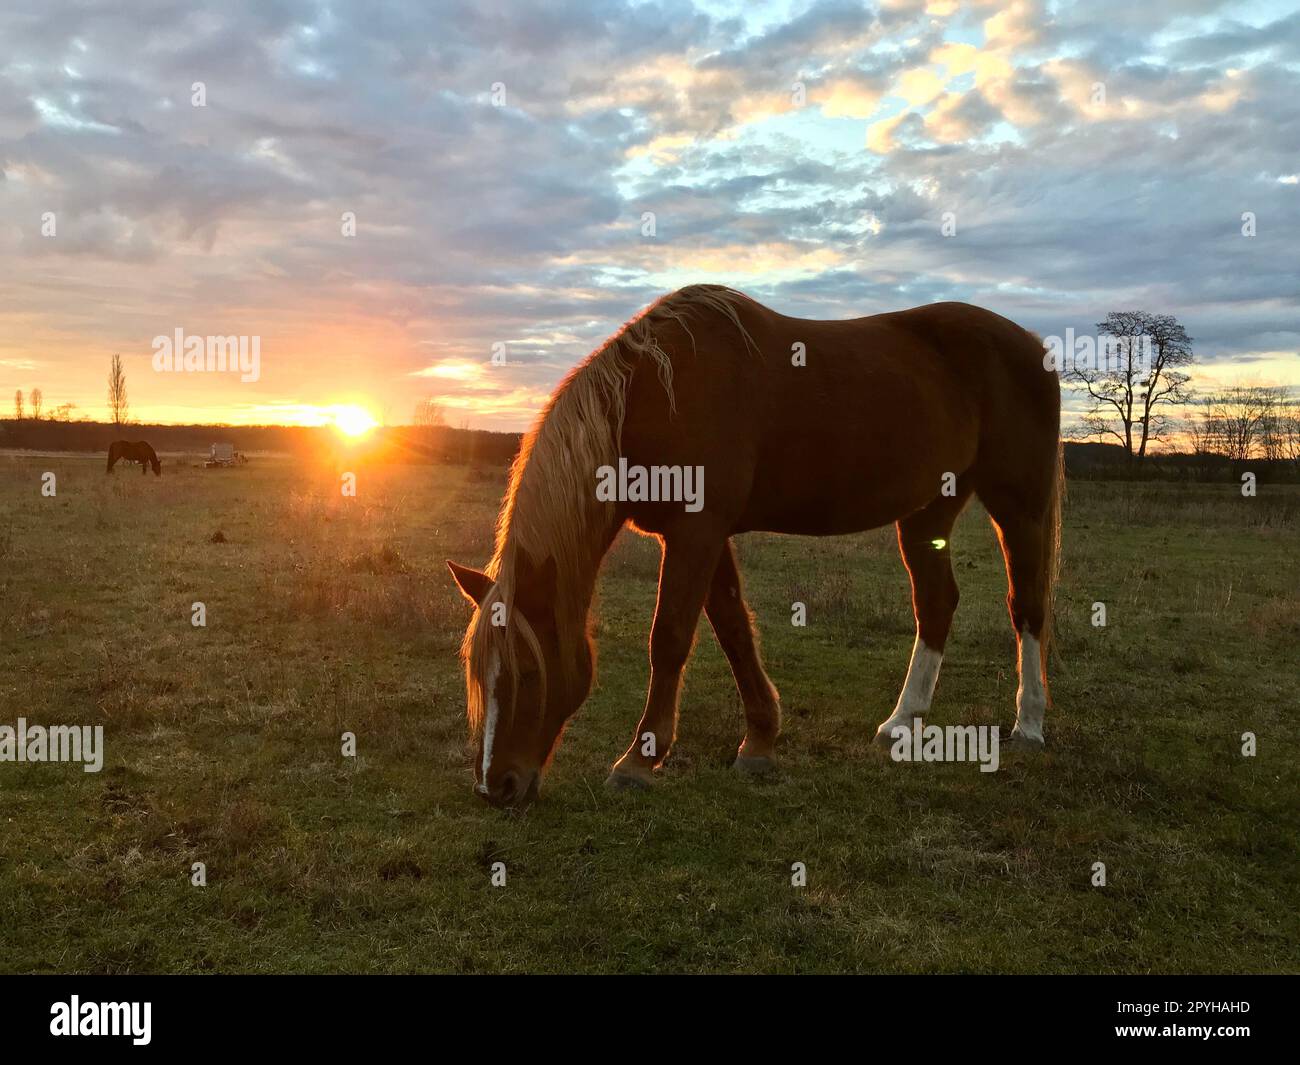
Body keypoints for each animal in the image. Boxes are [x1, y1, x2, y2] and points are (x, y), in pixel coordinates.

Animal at [448, 285, 1062, 808]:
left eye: (528, 672)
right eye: (480, 676)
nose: (495, 787)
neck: (654, 396)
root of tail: (1030, 343)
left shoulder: (697, 531)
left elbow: (670, 638)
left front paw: (638, 762)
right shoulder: (702, 535)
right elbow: (733, 630)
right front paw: (760, 741)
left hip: (1018, 503)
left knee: (1027, 605)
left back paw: (1029, 723)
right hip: (928, 511)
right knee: (936, 603)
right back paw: (901, 722)